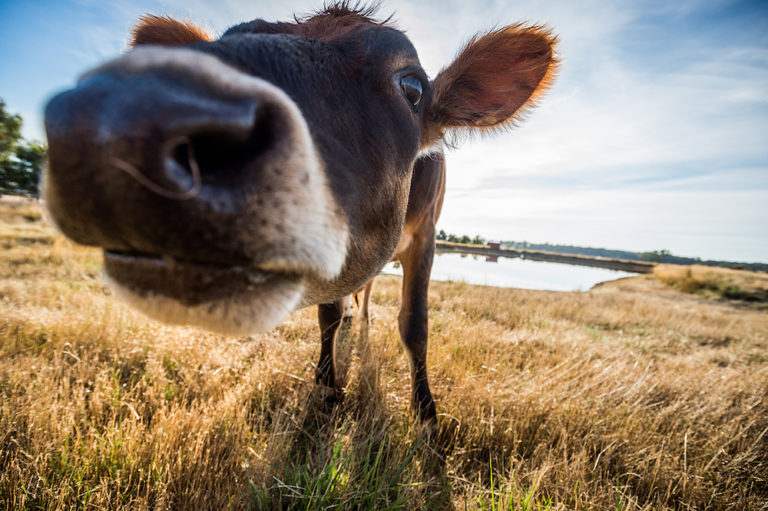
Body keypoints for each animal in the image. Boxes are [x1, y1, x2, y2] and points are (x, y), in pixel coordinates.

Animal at [43, 4, 557, 422]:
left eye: (412, 87)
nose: (122, 120)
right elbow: (328, 314)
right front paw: (328, 386)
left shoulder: (427, 235)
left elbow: (415, 323)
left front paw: (426, 414)